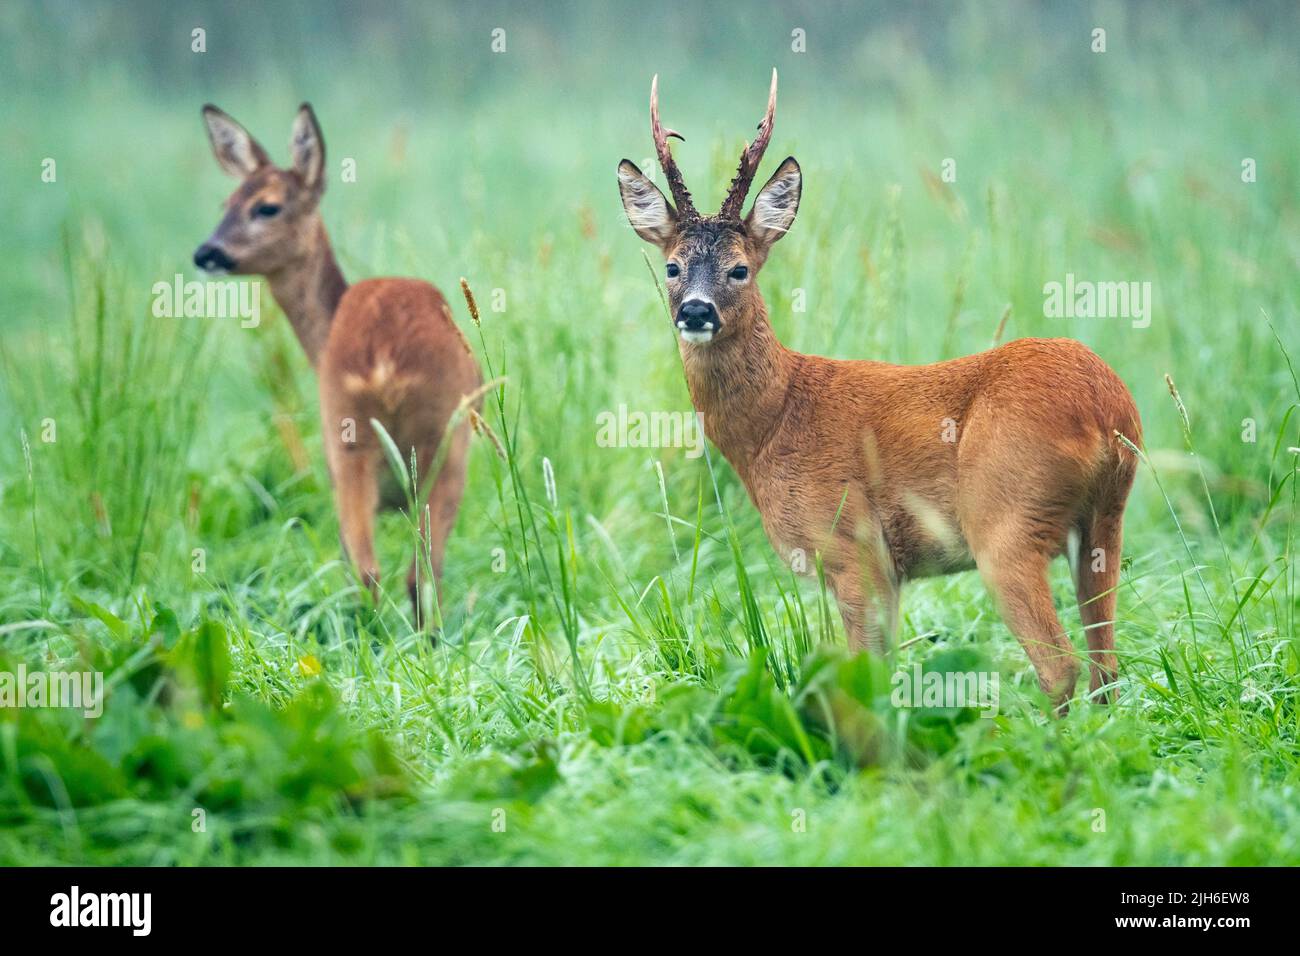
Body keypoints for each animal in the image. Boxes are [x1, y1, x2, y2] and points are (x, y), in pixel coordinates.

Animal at [193, 103, 482, 633]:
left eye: (266, 206)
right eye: (227, 201)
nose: (206, 253)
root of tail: (385, 361)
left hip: (368, 442)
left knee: (386, 571)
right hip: (421, 446)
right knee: (408, 573)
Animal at [617, 71, 1142, 711]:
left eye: (739, 269)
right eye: (672, 267)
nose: (695, 310)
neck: (774, 423)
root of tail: (1108, 410)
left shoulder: (852, 547)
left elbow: (862, 674)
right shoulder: (889, 571)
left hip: (1005, 518)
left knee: (1061, 666)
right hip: (1106, 521)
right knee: (1105, 669)